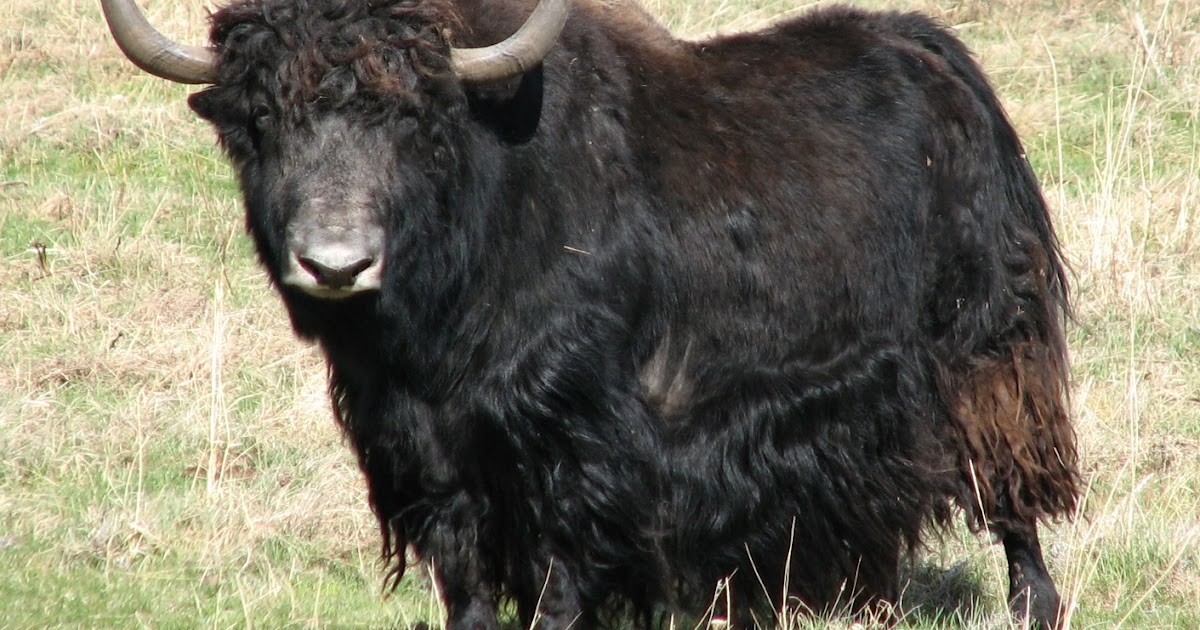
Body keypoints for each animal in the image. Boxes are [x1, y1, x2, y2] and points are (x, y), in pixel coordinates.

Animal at [101, 0, 1080, 627]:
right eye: (262, 119)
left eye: (410, 118)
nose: (334, 263)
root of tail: (938, 55)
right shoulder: (427, 450)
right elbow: (465, 579)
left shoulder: (574, 438)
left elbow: (565, 574)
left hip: (986, 346)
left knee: (1010, 491)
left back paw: (1034, 606)